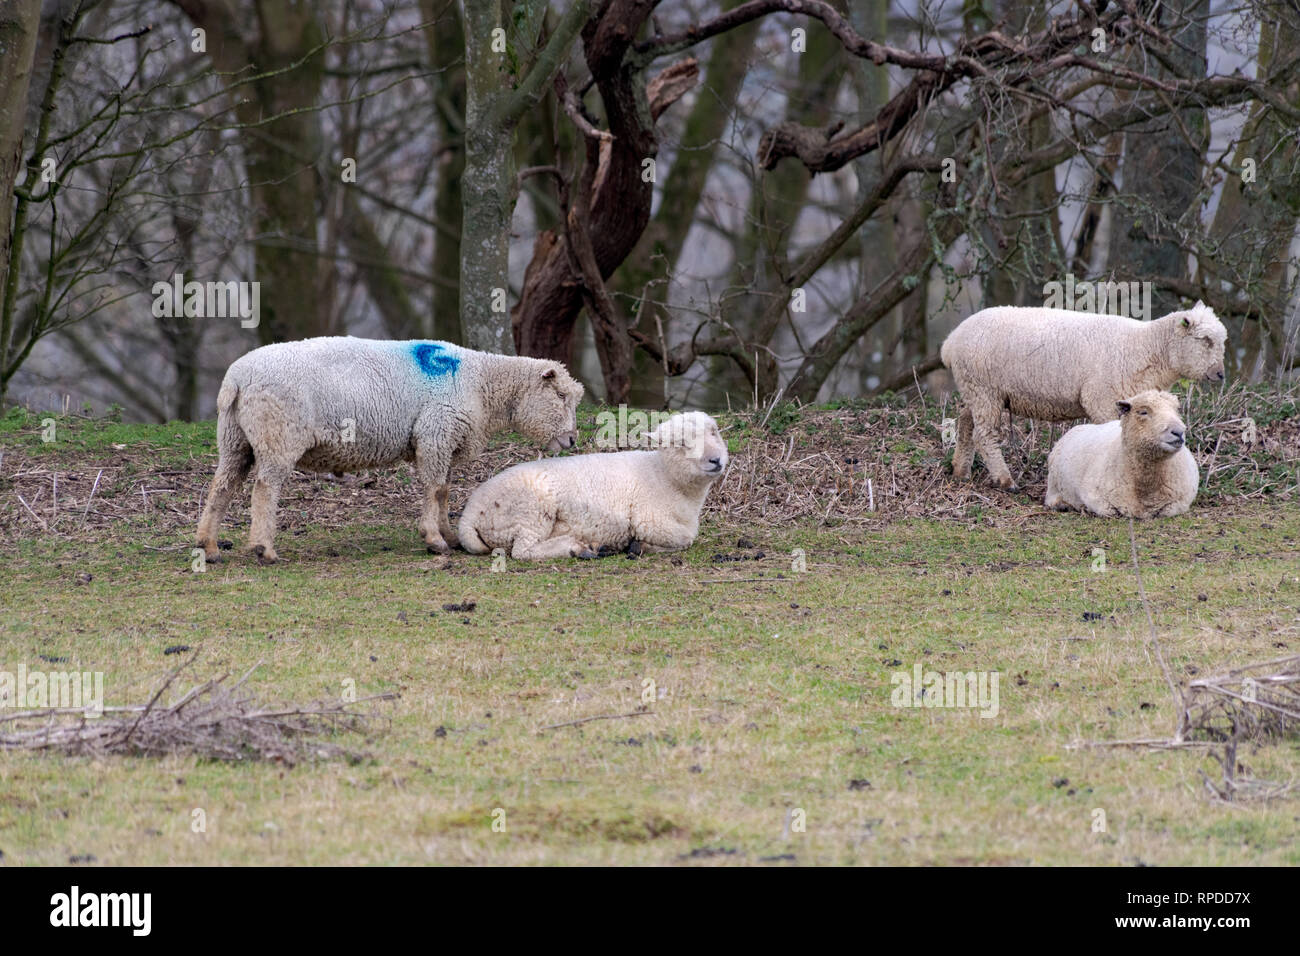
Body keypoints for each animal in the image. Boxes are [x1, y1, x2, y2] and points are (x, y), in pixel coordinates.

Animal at [195, 337, 583, 563]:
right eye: (560, 395)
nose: (571, 441)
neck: (482, 383)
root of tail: (236, 380)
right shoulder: (435, 433)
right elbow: (433, 488)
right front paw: (433, 539)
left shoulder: (445, 440)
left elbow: (444, 490)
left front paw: (447, 534)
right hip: (277, 436)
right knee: (264, 489)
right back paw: (265, 549)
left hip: (235, 438)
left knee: (222, 487)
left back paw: (208, 547)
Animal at [459, 411, 728, 560]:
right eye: (681, 443)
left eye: (714, 432)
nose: (716, 460)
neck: (665, 478)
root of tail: (469, 516)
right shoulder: (651, 521)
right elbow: (685, 539)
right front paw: (639, 546)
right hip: (529, 511)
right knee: (522, 551)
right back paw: (577, 549)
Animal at [940, 301, 1226, 489]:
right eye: (1205, 340)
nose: (1221, 374)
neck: (1145, 347)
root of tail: (951, 341)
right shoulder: (1102, 400)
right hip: (984, 389)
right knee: (984, 435)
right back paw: (1004, 480)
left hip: (976, 390)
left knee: (965, 421)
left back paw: (960, 470)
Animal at [1044, 390, 1199, 518]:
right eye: (1143, 412)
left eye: (1176, 410)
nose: (1179, 432)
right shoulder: (1097, 500)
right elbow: (1110, 511)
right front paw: (1084, 508)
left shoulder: (1180, 502)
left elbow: (1166, 511)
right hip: (1053, 483)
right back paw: (1062, 505)